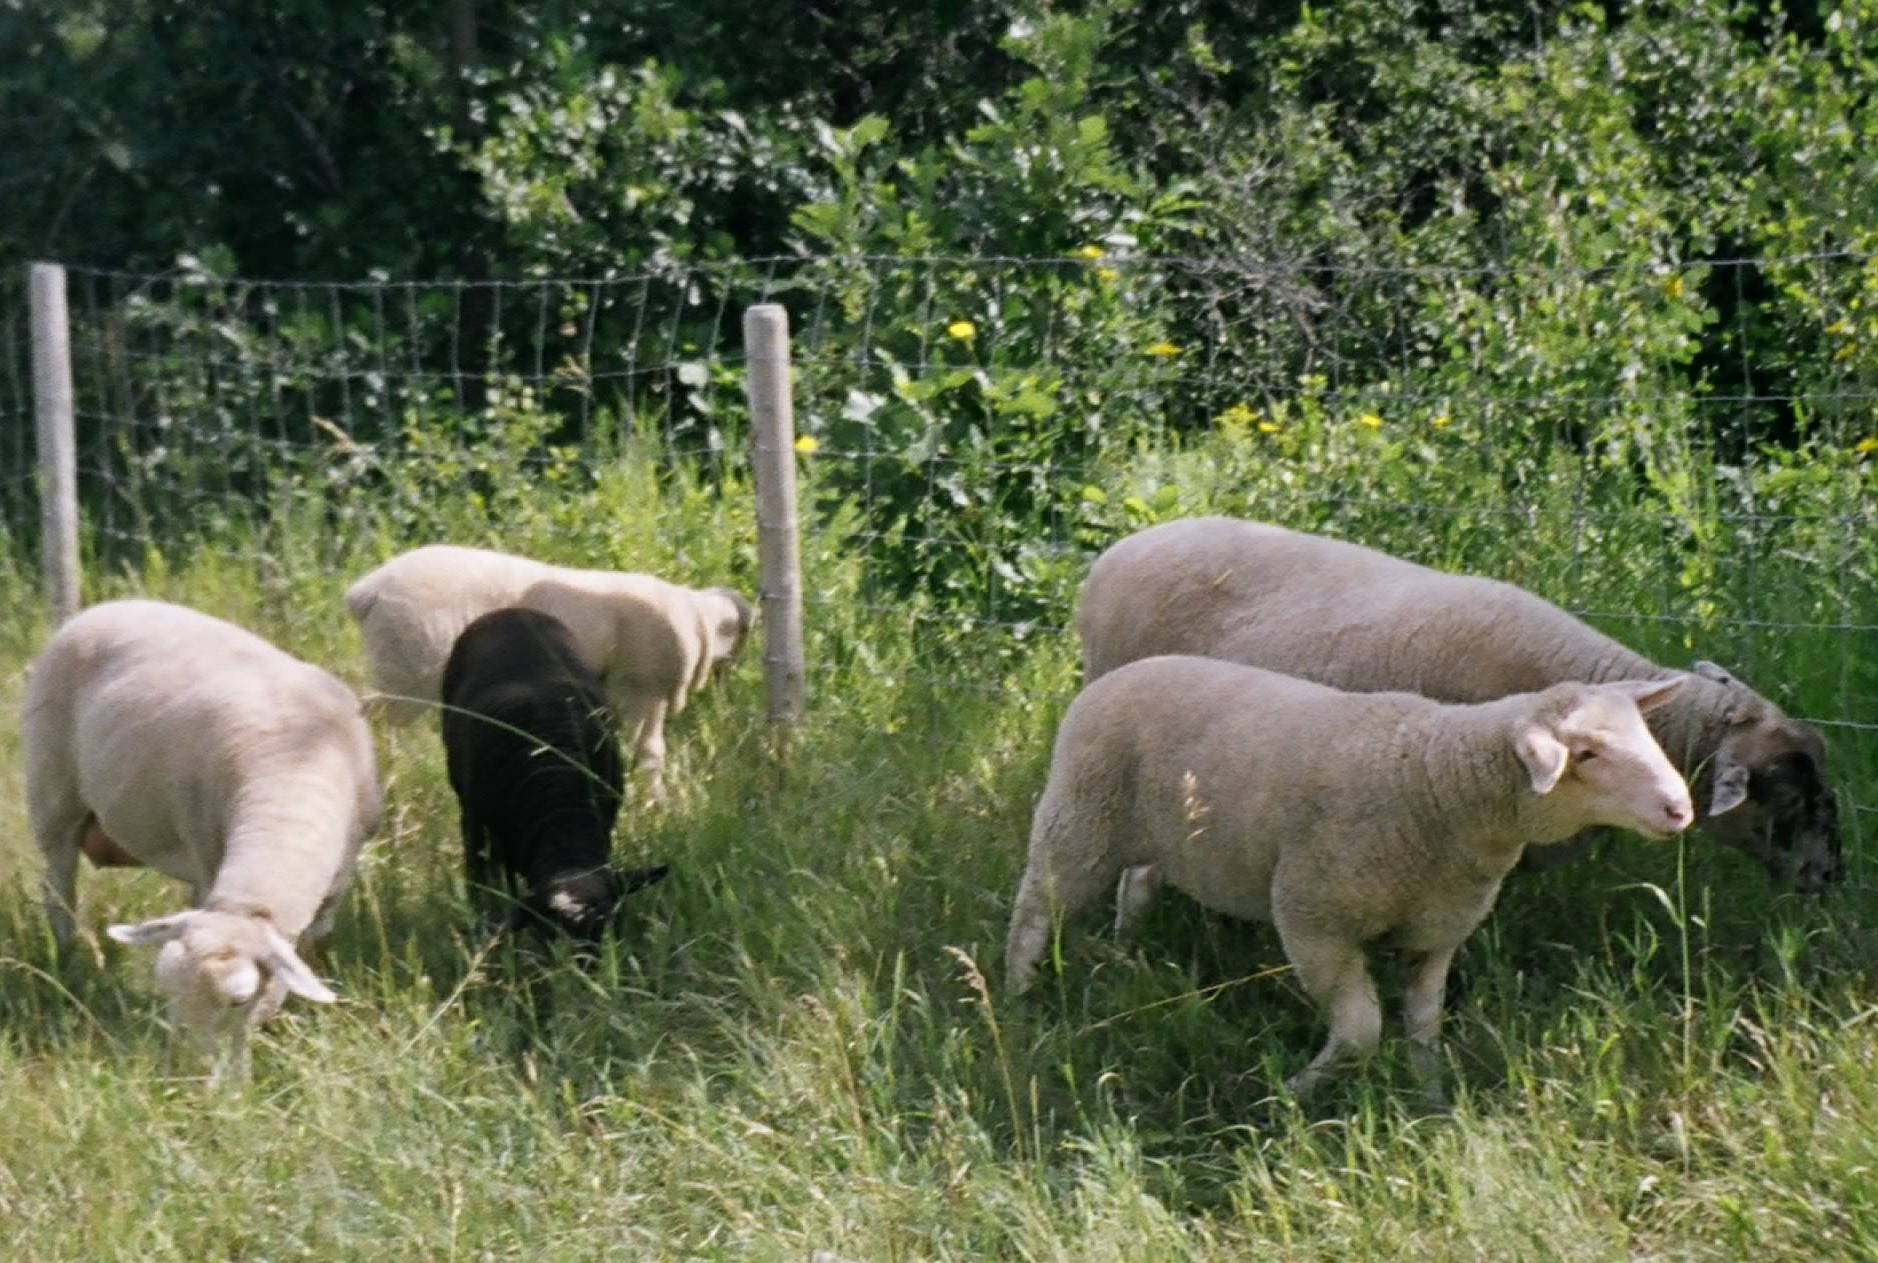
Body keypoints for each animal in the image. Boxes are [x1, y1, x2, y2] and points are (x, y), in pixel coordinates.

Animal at [23, 599, 382, 1081]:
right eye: (166, 991)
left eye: (238, 999)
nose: (187, 1079)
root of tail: (109, 604)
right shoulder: (207, 858)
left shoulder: (336, 884)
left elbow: (316, 949)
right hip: (53, 797)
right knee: (58, 887)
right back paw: (69, 960)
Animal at [346, 544, 755, 801]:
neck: (699, 620)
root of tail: (367, 591)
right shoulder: (642, 692)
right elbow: (651, 753)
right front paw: (660, 805)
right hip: (409, 669)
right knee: (370, 714)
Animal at [1005, 655, 1693, 1103]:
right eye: (1587, 754)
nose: (1679, 808)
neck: (1438, 784)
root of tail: (1119, 671)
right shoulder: (1315, 919)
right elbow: (1362, 1032)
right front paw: (1294, 1092)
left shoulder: (1435, 933)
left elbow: (1423, 1026)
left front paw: (1430, 1097)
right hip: (1079, 818)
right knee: (1036, 908)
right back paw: (1019, 996)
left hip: (1159, 833)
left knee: (1138, 884)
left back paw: (1126, 950)